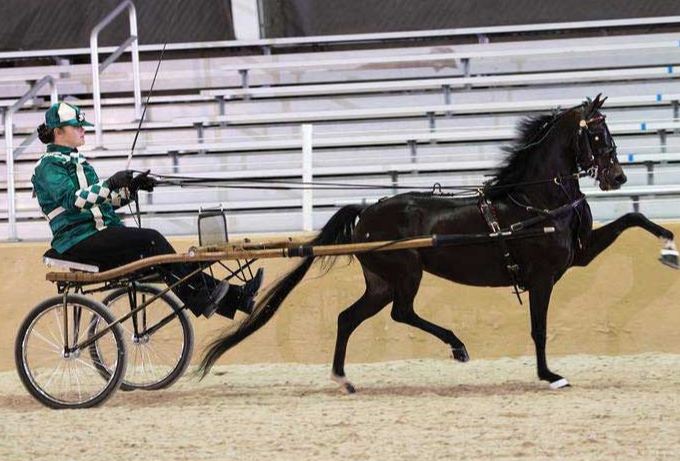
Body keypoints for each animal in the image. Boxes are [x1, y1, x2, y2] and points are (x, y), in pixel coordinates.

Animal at [198, 95, 678, 392]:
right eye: (595, 134)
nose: (618, 177)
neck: (533, 201)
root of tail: (366, 212)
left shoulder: (578, 256)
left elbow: (633, 218)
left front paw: (669, 247)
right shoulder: (544, 278)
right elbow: (539, 328)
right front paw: (549, 375)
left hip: (381, 282)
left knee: (349, 318)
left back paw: (344, 378)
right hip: (405, 275)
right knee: (400, 313)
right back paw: (457, 346)